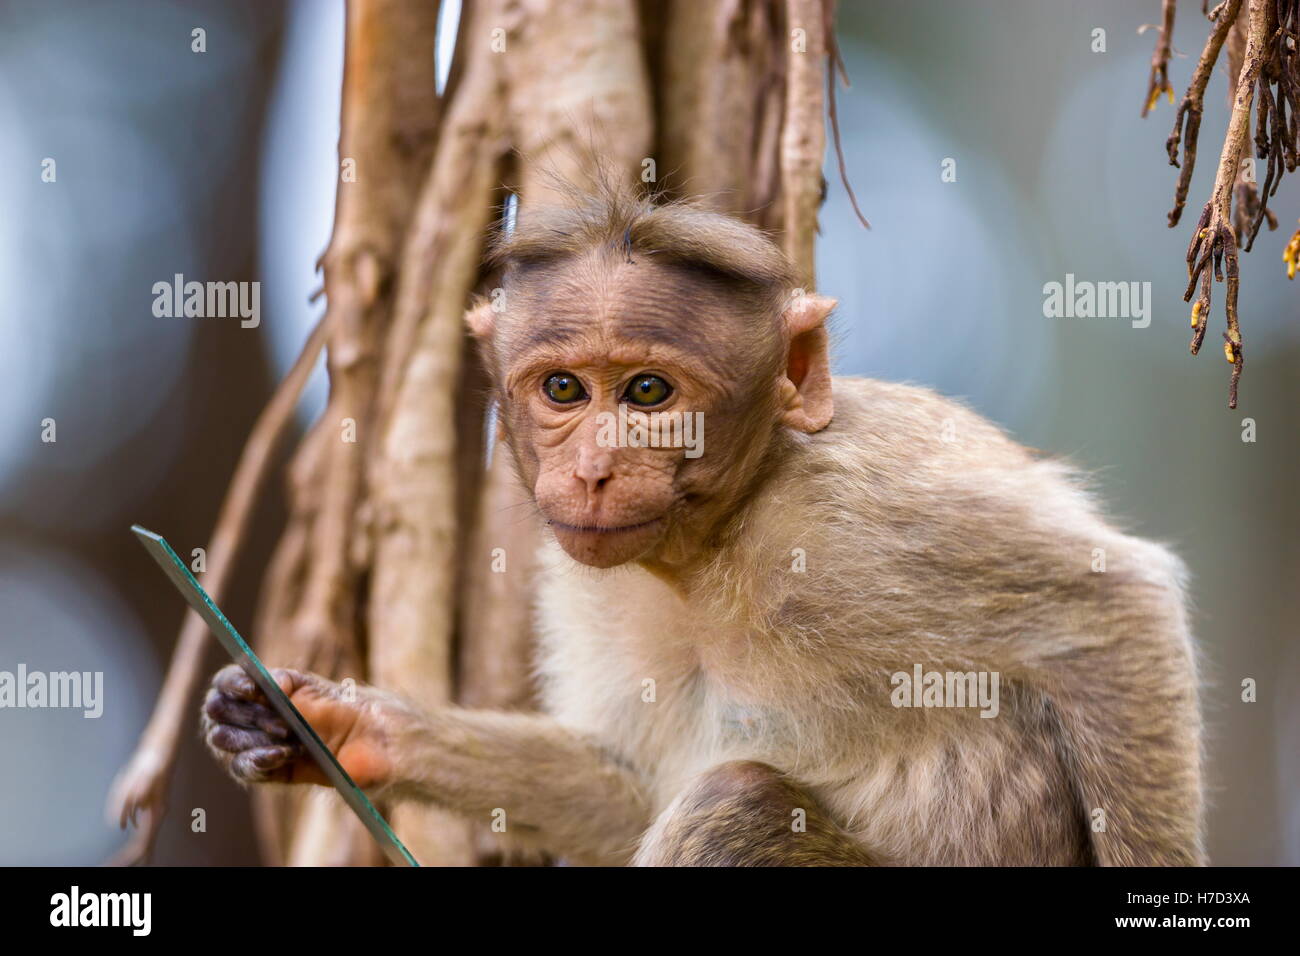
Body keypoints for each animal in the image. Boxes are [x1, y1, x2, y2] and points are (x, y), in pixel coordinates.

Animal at [202, 181, 1205, 866]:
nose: (593, 470)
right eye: (563, 389)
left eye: (650, 393)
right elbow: (630, 787)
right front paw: (337, 725)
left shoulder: (855, 526)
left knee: (736, 803)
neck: (712, 545)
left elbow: (1118, 616)